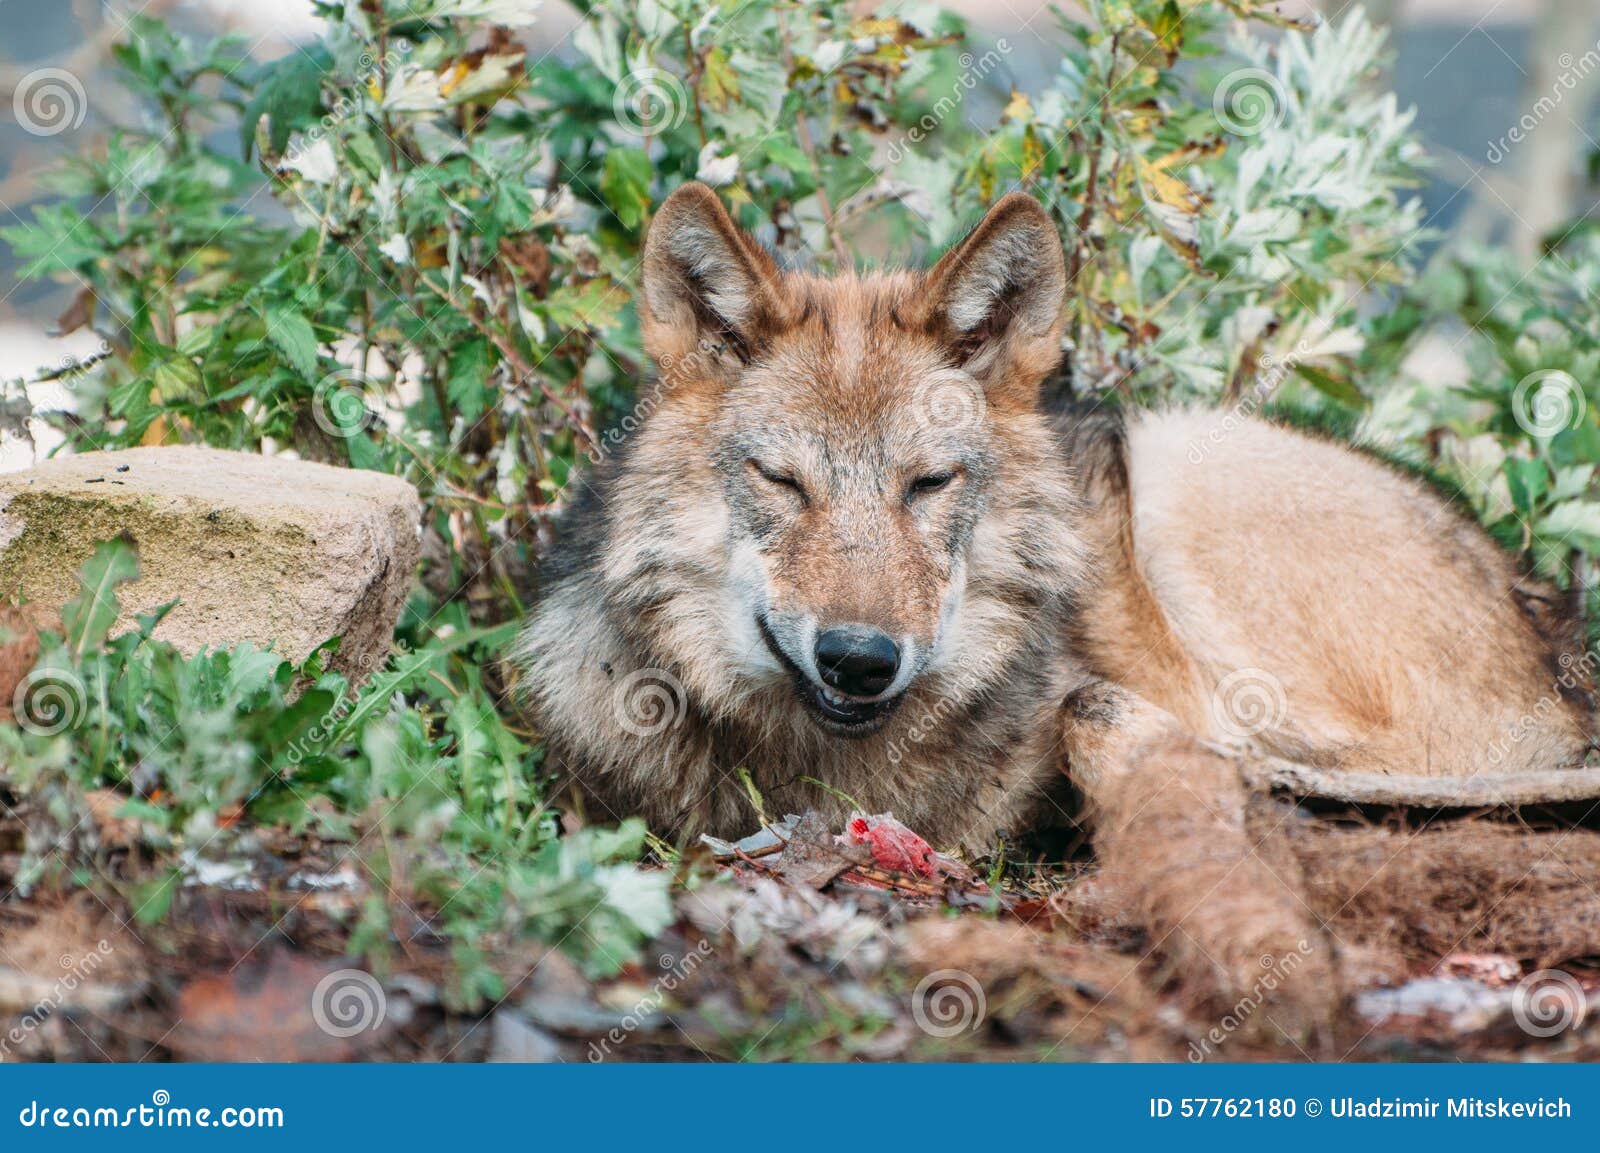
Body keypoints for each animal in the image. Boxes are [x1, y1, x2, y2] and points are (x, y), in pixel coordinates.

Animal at [516, 182, 1595, 1023]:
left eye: (929, 484)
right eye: (782, 482)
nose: (860, 658)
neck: (825, 771)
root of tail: (1552, 617)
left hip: (1174, 466)